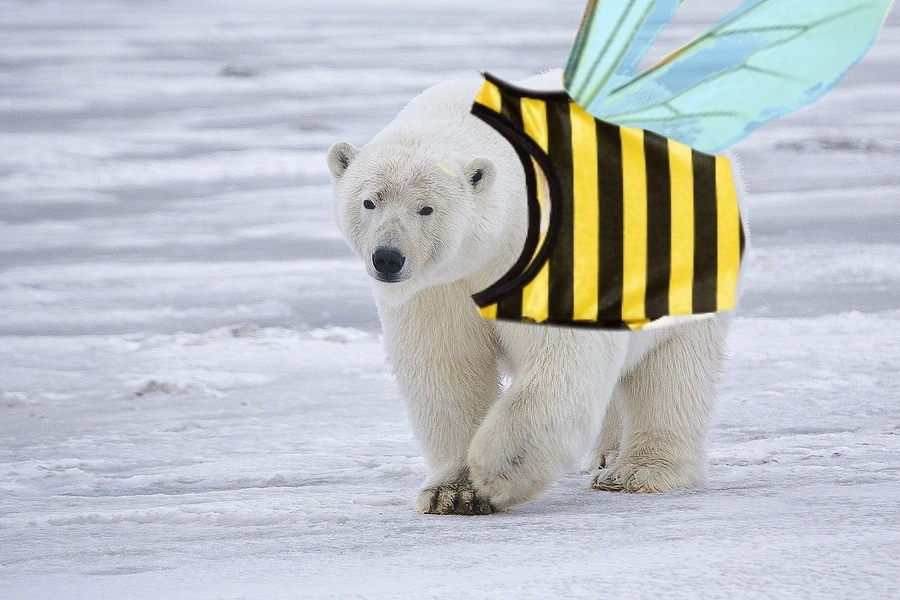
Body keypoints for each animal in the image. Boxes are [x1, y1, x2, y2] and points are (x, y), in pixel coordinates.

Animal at [327, 69, 732, 514]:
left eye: (426, 208)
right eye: (369, 201)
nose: (387, 258)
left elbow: (561, 359)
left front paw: (496, 472)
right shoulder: (440, 288)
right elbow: (447, 368)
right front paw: (452, 492)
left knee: (673, 372)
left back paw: (637, 471)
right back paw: (606, 454)